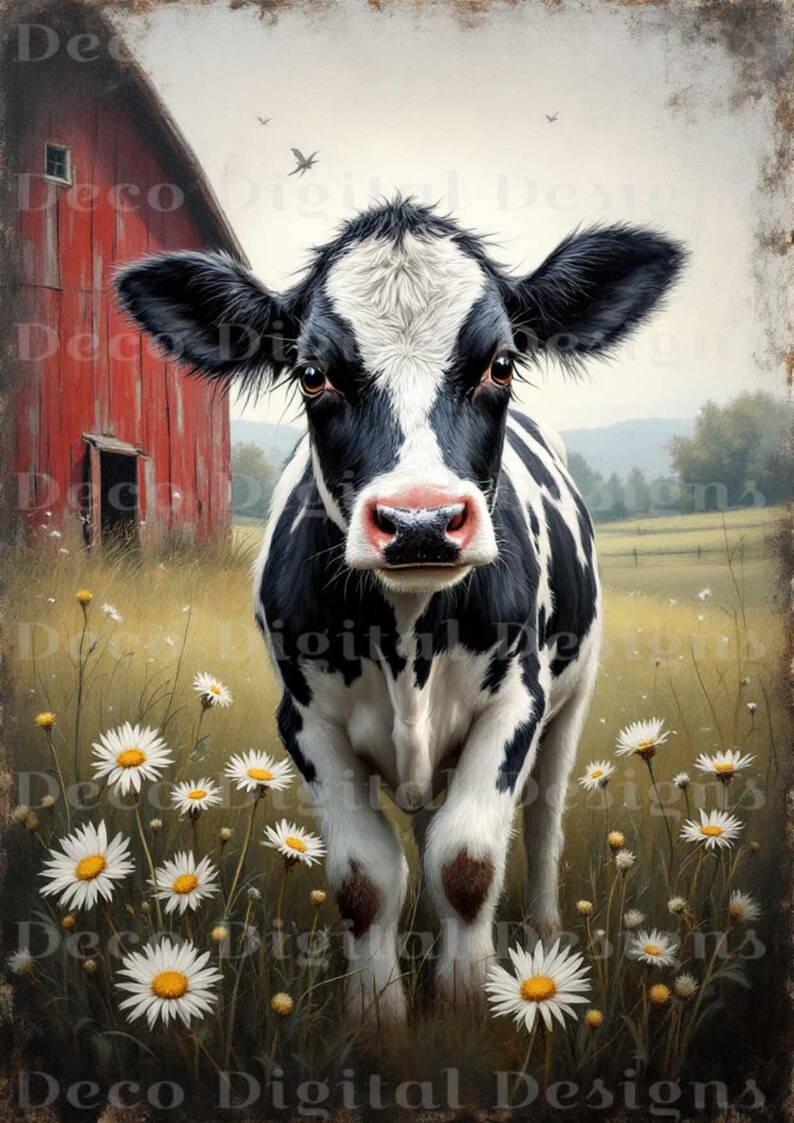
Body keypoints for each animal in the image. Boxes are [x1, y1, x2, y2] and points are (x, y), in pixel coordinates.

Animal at [115, 197, 684, 1024]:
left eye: (501, 362)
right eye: (312, 373)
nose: (421, 520)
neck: (409, 634)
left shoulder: (517, 698)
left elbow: (467, 861)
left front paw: (468, 1007)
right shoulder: (305, 719)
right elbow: (365, 878)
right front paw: (379, 1015)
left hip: (572, 696)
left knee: (543, 818)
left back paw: (545, 929)